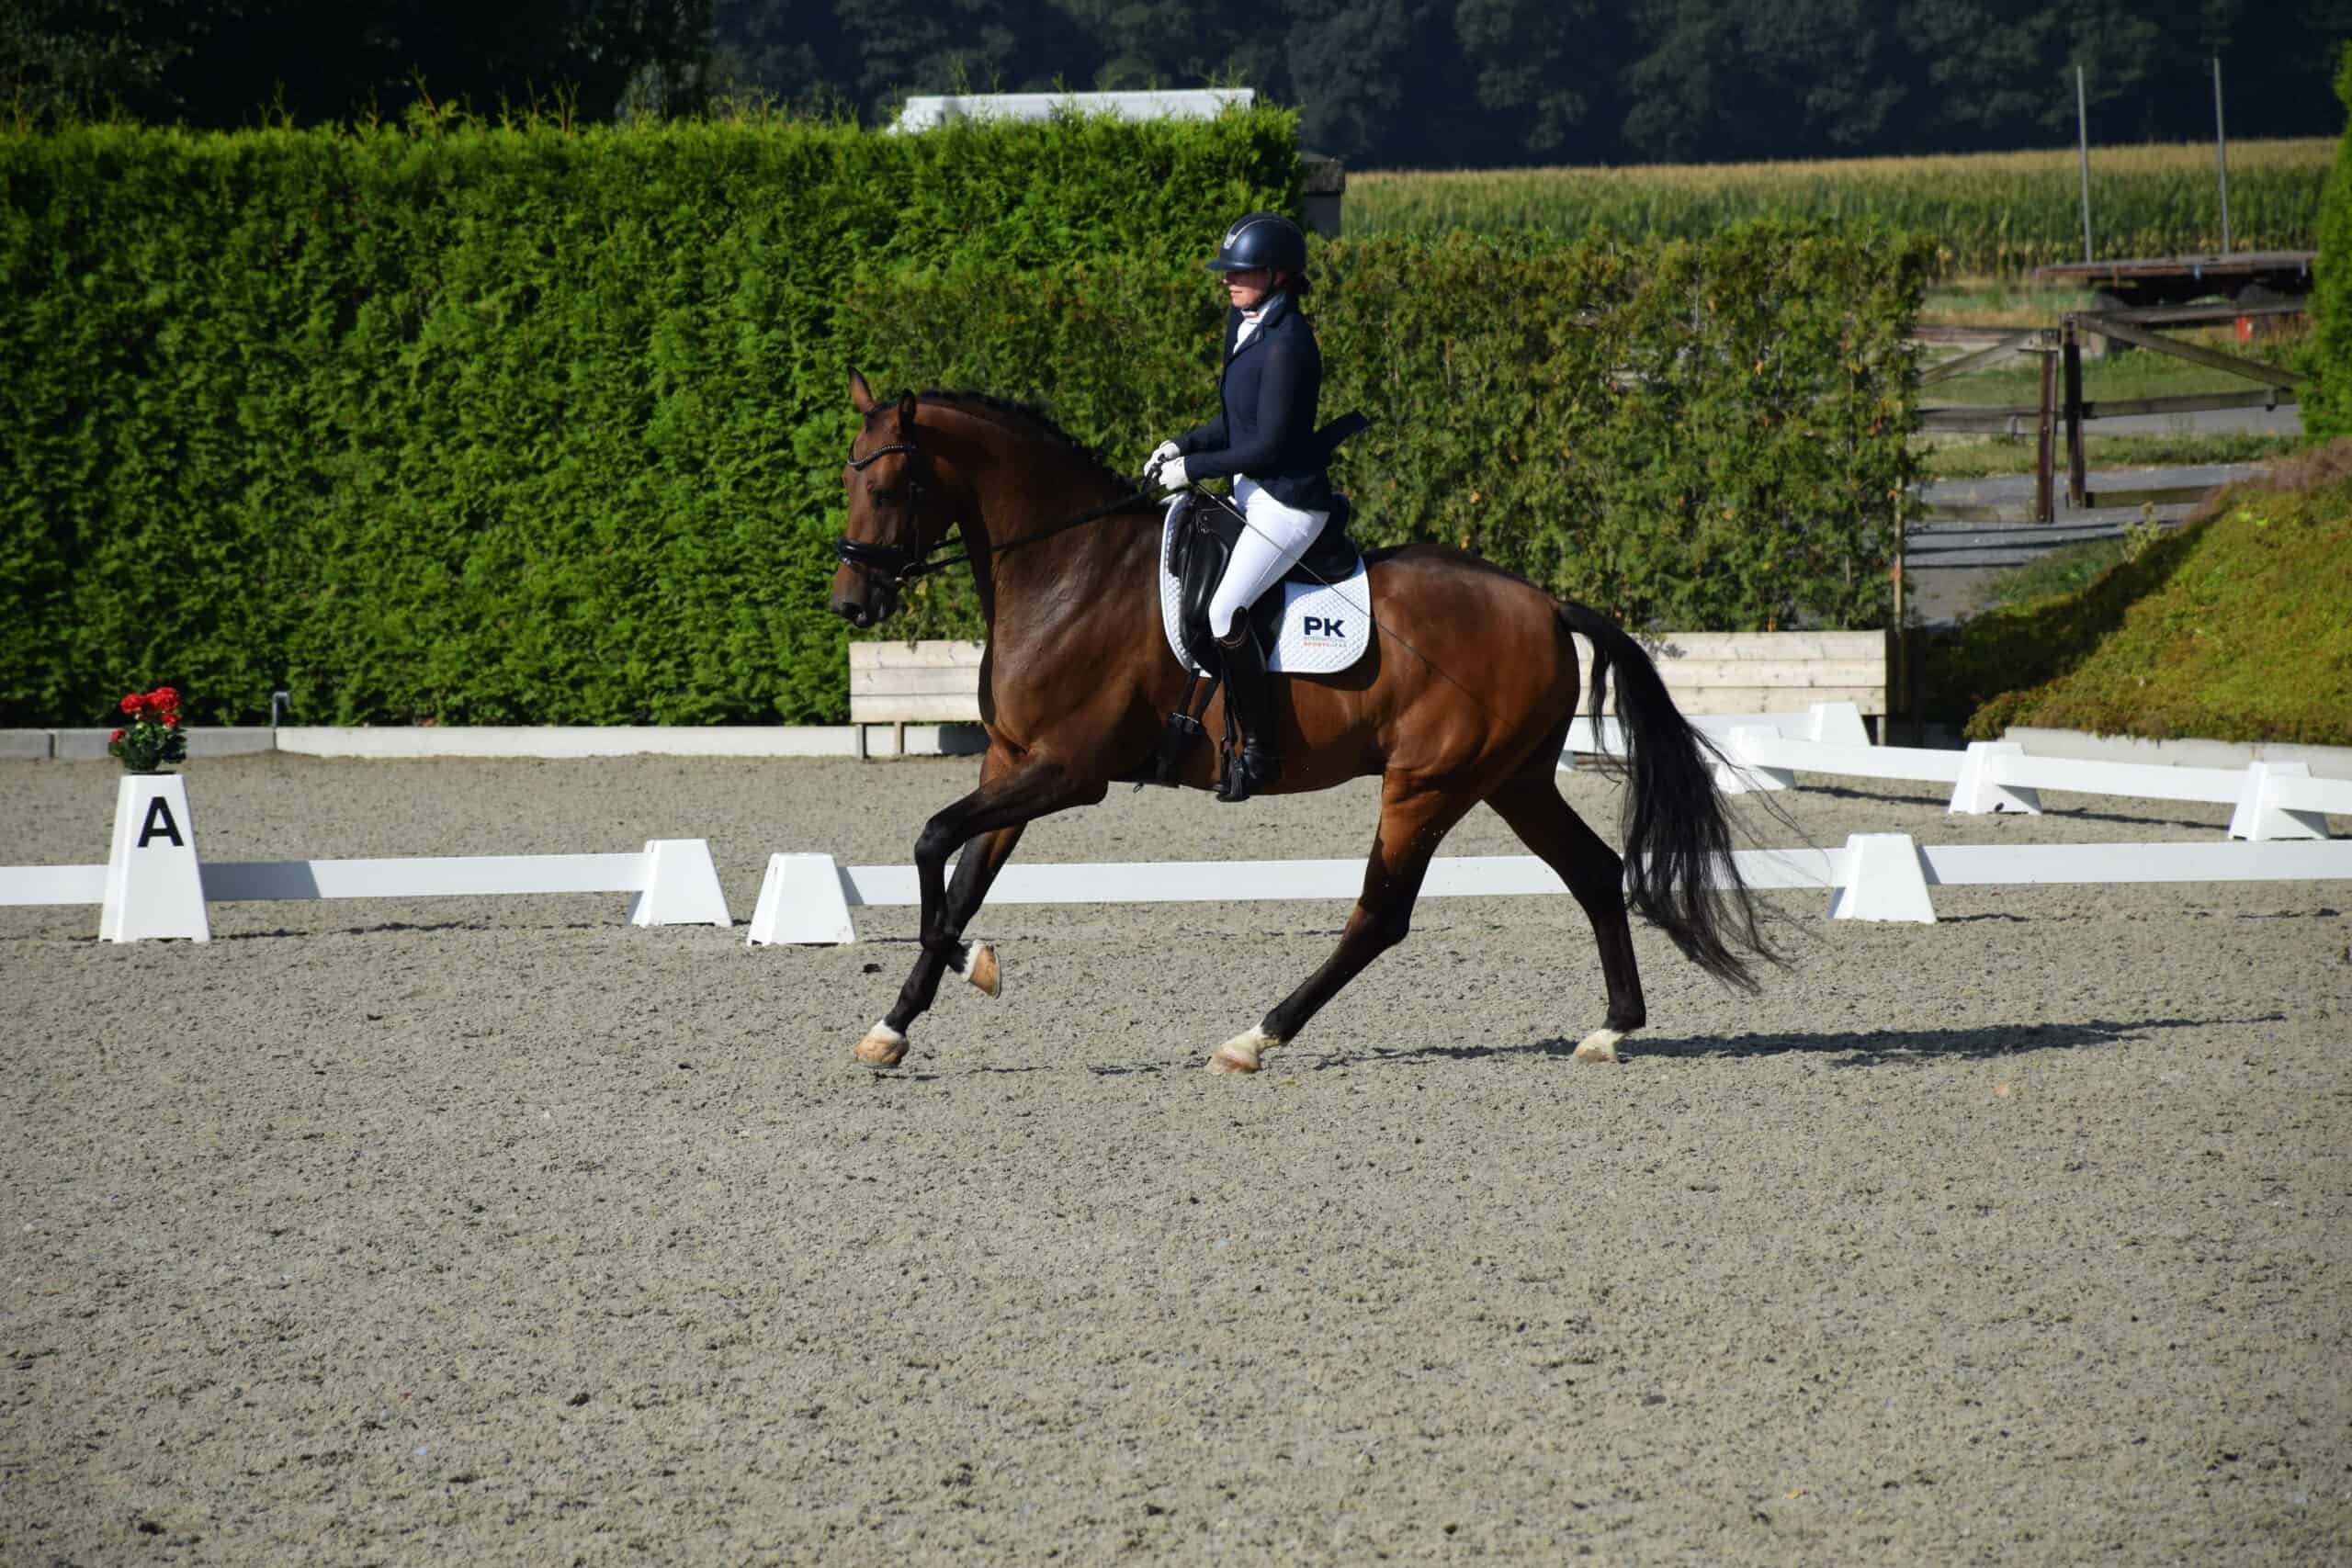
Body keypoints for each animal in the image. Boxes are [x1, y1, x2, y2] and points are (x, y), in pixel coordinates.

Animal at [827, 369, 1777, 1073]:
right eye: (847, 476)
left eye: (894, 483)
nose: (850, 603)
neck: (1070, 569)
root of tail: (1545, 603)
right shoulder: (1011, 761)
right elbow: (958, 874)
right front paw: (896, 1023)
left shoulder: (1069, 770)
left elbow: (931, 842)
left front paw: (972, 964)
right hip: (1512, 780)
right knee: (1594, 871)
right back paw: (1612, 1028)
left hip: (1427, 785)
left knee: (1380, 916)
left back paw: (1256, 1036)